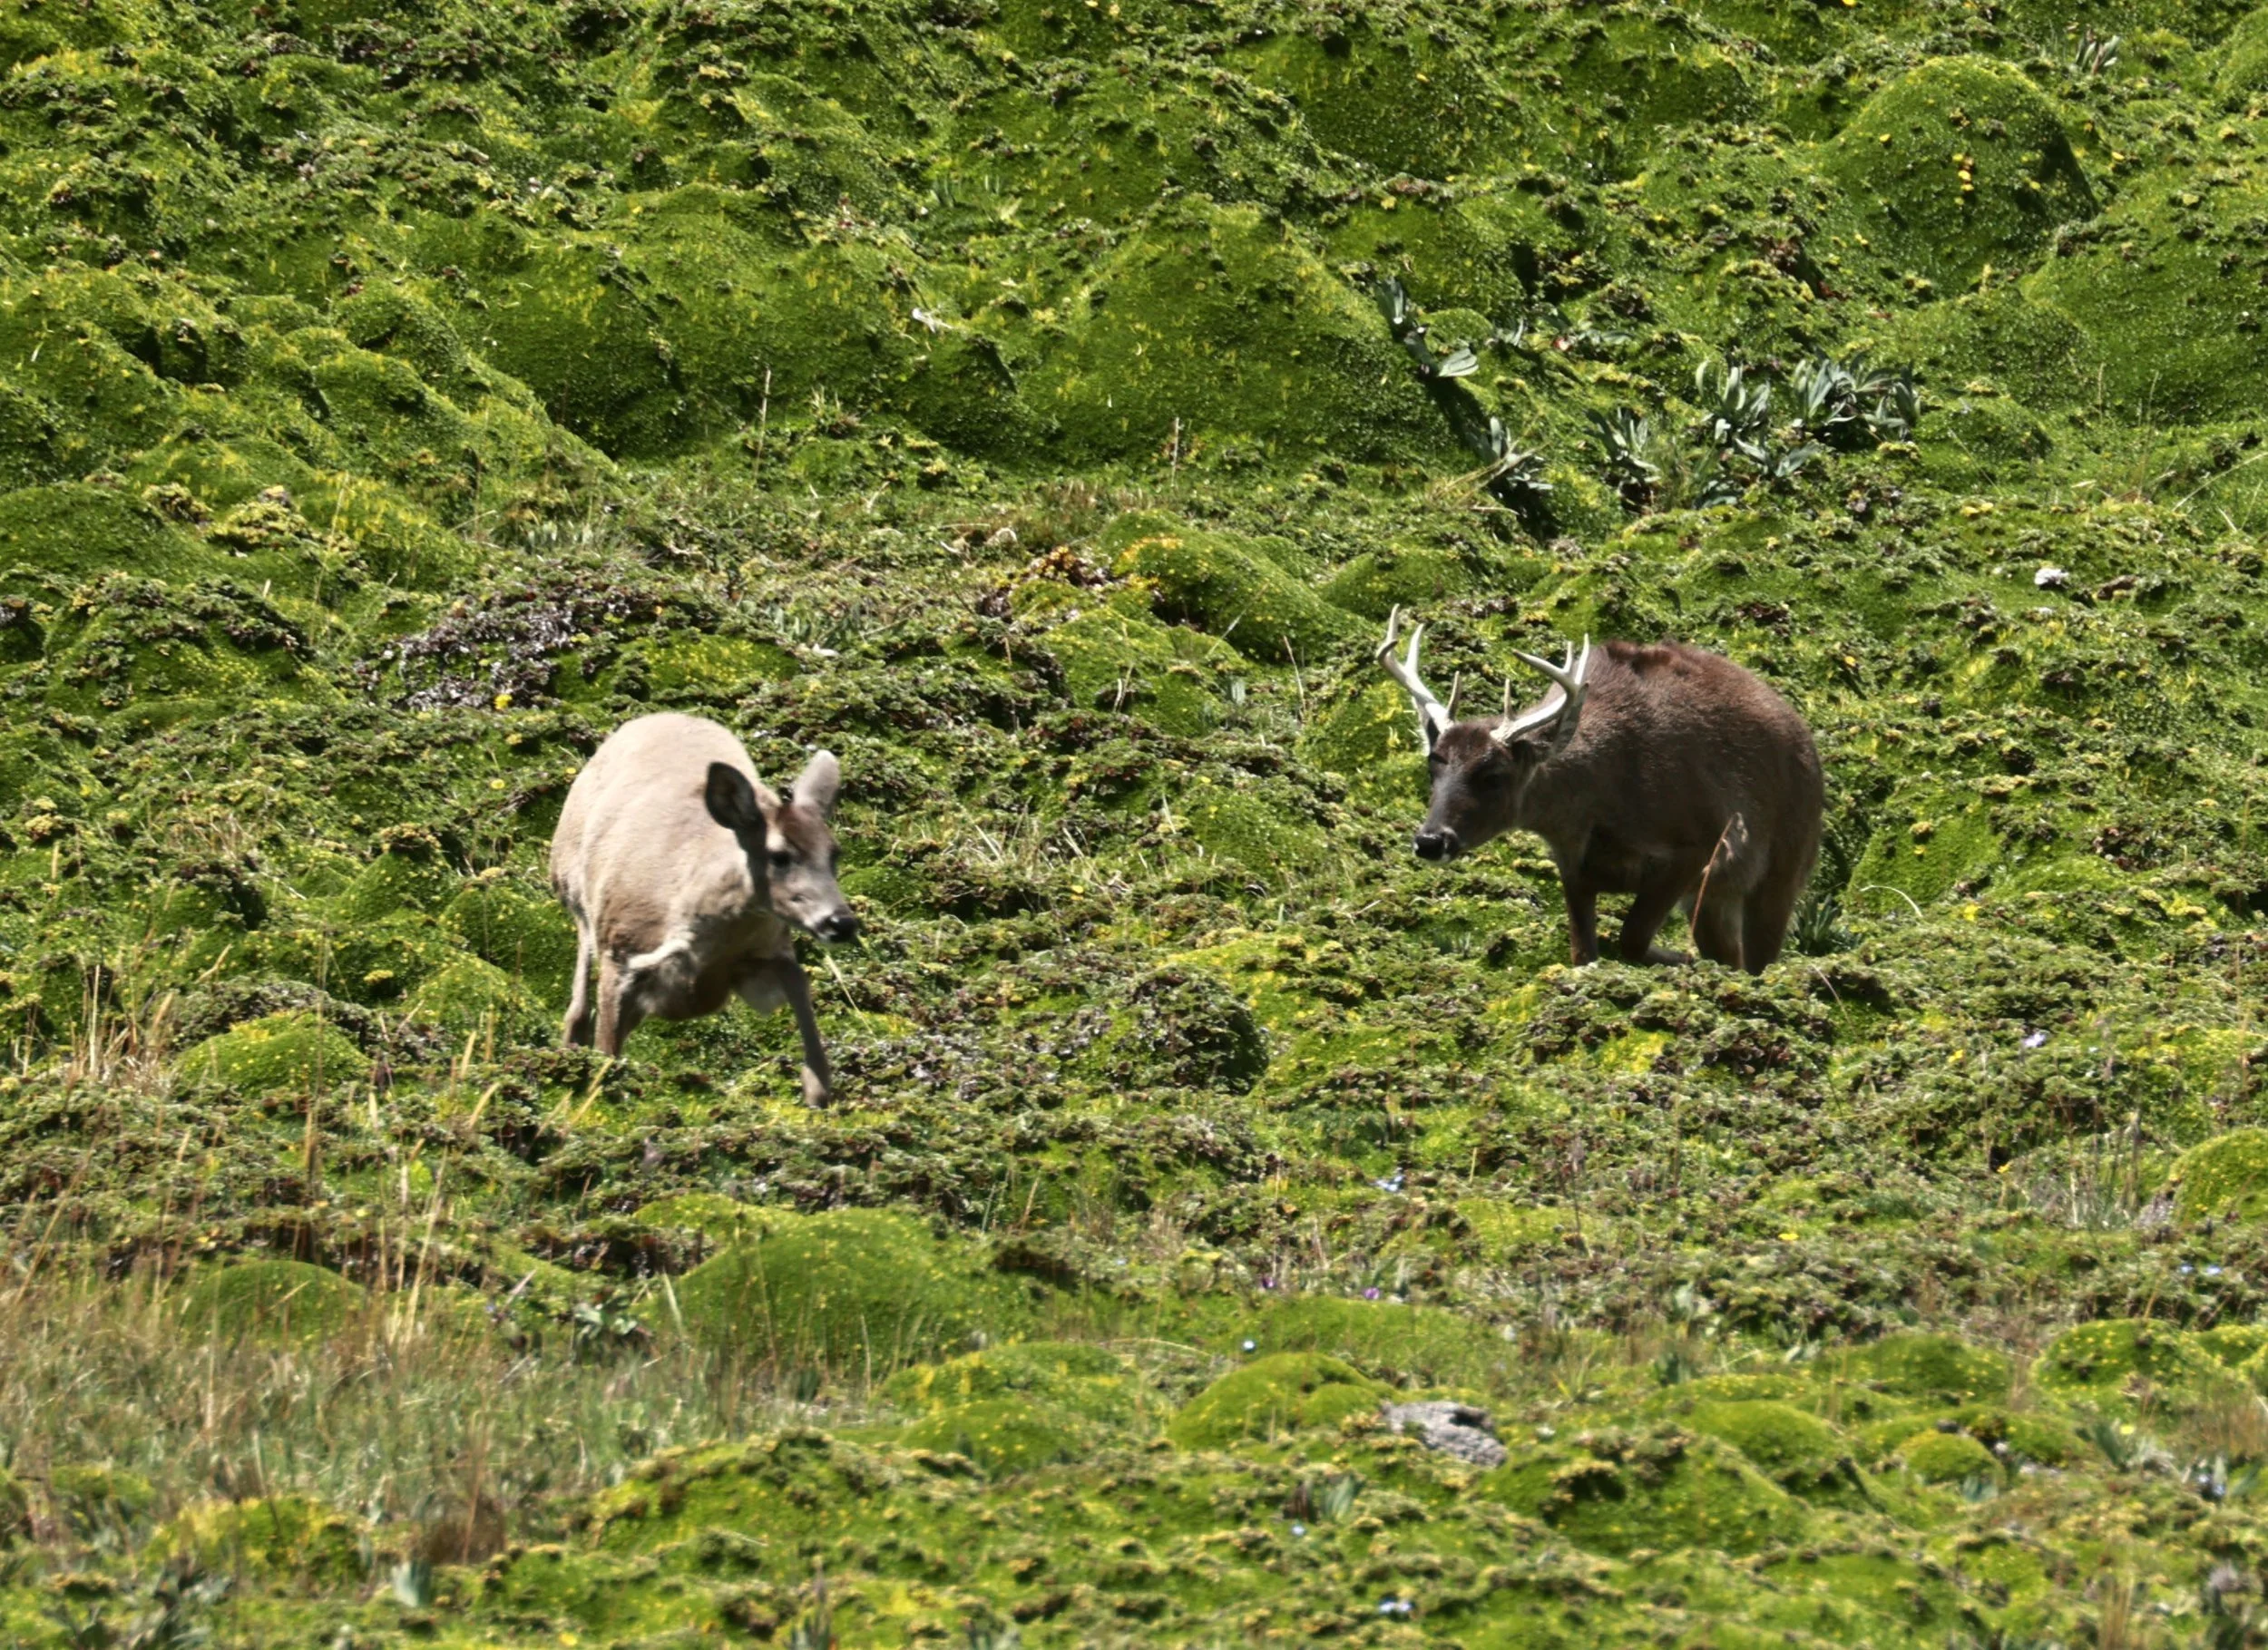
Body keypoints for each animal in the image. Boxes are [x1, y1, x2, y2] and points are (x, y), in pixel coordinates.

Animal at [550, 712, 861, 1103]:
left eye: (835, 854)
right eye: (779, 856)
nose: (841, 922)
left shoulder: (763, 950)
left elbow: (799, 983)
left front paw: (817, 1088)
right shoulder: (619, 950)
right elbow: (608, 1046)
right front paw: (602, 1089)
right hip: (571, 883)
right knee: (582, 969)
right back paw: (571, 1047)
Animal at [1377, 607, 1822, 974]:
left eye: (1494, 775)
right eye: (1433, 765)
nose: (1431, 841)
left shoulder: (1699, 841)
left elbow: (1632, 939)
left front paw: (1682, 961)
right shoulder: (1573, 867)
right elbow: (1582, 954)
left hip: (1785, 866)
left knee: (1759, 957)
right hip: (1719, 896)